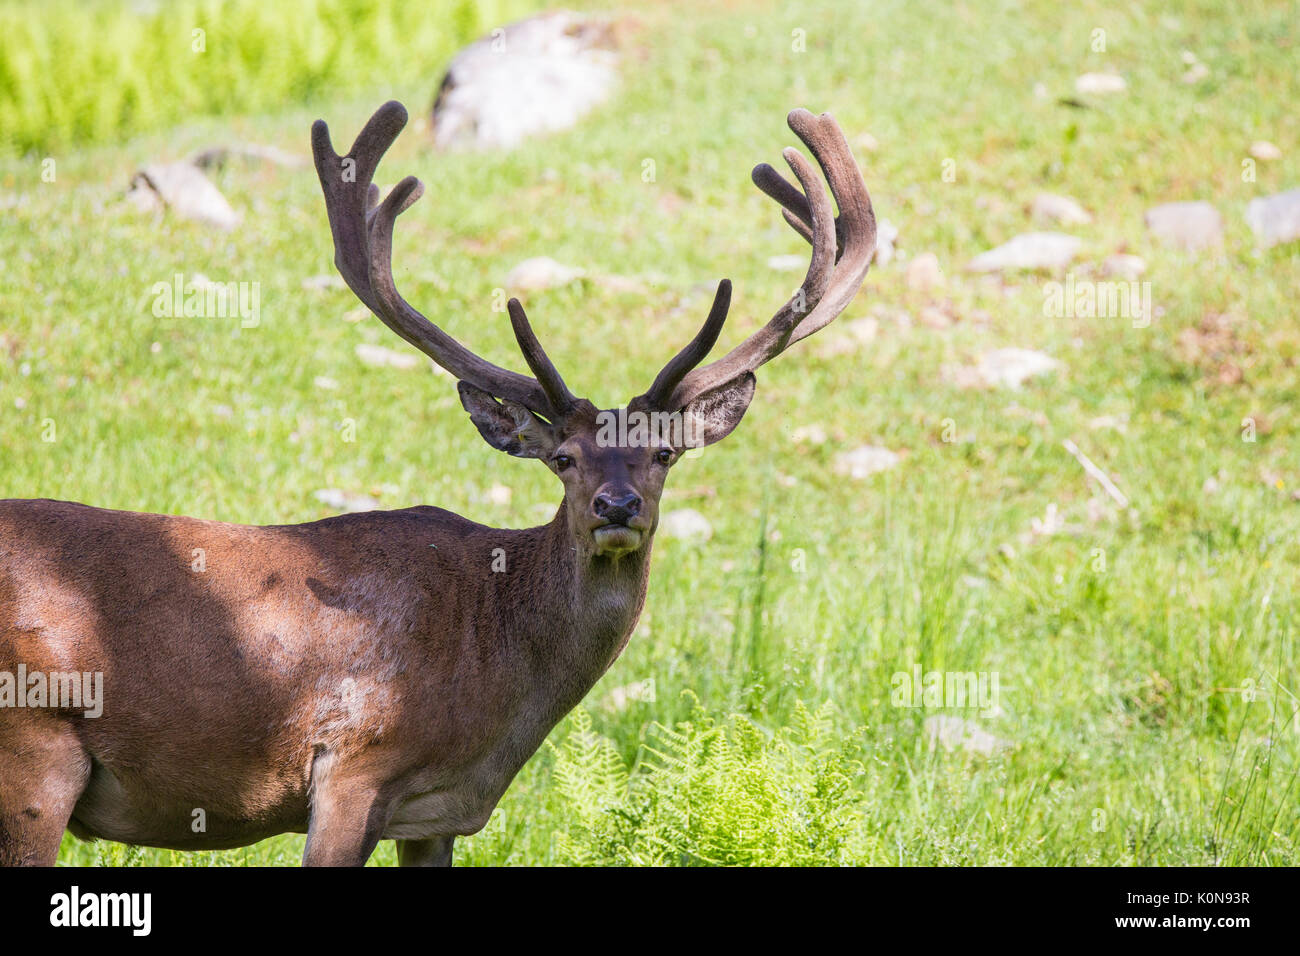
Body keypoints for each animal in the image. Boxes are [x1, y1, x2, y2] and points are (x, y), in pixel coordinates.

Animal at [0, 101, 875, 866]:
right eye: (564, 458)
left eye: (663, 455)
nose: (617, 506)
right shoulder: (350, 768)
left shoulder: (437, 814)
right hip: (34, 751)